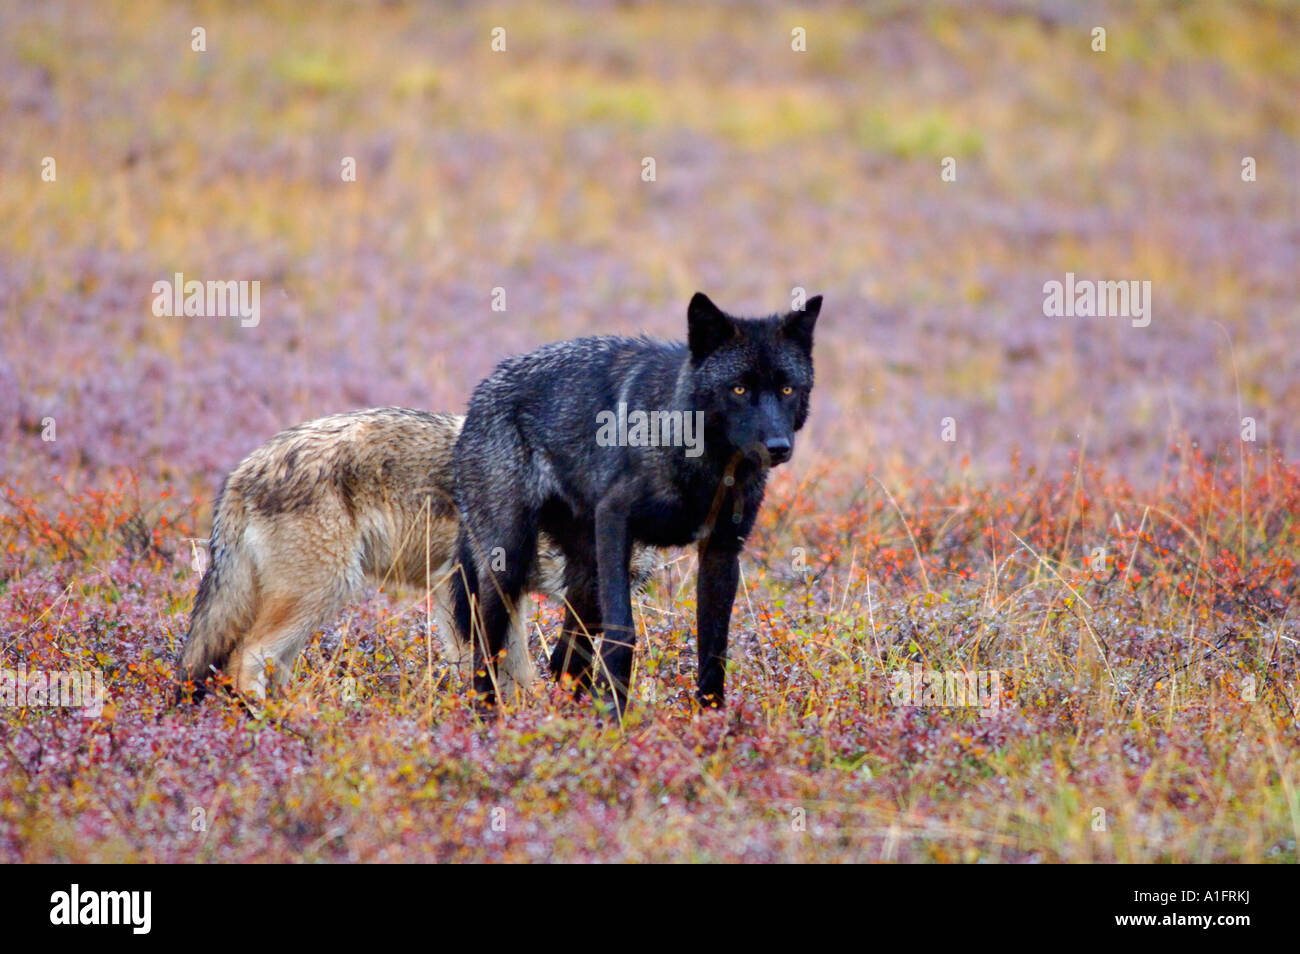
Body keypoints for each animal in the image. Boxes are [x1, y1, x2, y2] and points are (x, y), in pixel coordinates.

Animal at [176, 407, 657, 702]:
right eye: (589, 563)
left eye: (630, 577)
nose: (606, 622)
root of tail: (243, 471)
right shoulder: (464, 587)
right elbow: (498, 667)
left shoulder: (476, 592)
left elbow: (514, 668)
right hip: (322, 592)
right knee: (246, 657)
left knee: (268, 664)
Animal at [452, 291, 821, 715]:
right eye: (739, 389)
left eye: (788, 390)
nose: (778, 447)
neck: (706, 467)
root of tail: (481, 391)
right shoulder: (615, 522)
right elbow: (623, 633)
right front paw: (616, 714)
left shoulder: (722, 550)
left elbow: (714, 644)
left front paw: (712, 720)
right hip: (510, 563)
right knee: (486, 652)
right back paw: (488, 719)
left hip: (586, 582)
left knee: (564, 658)